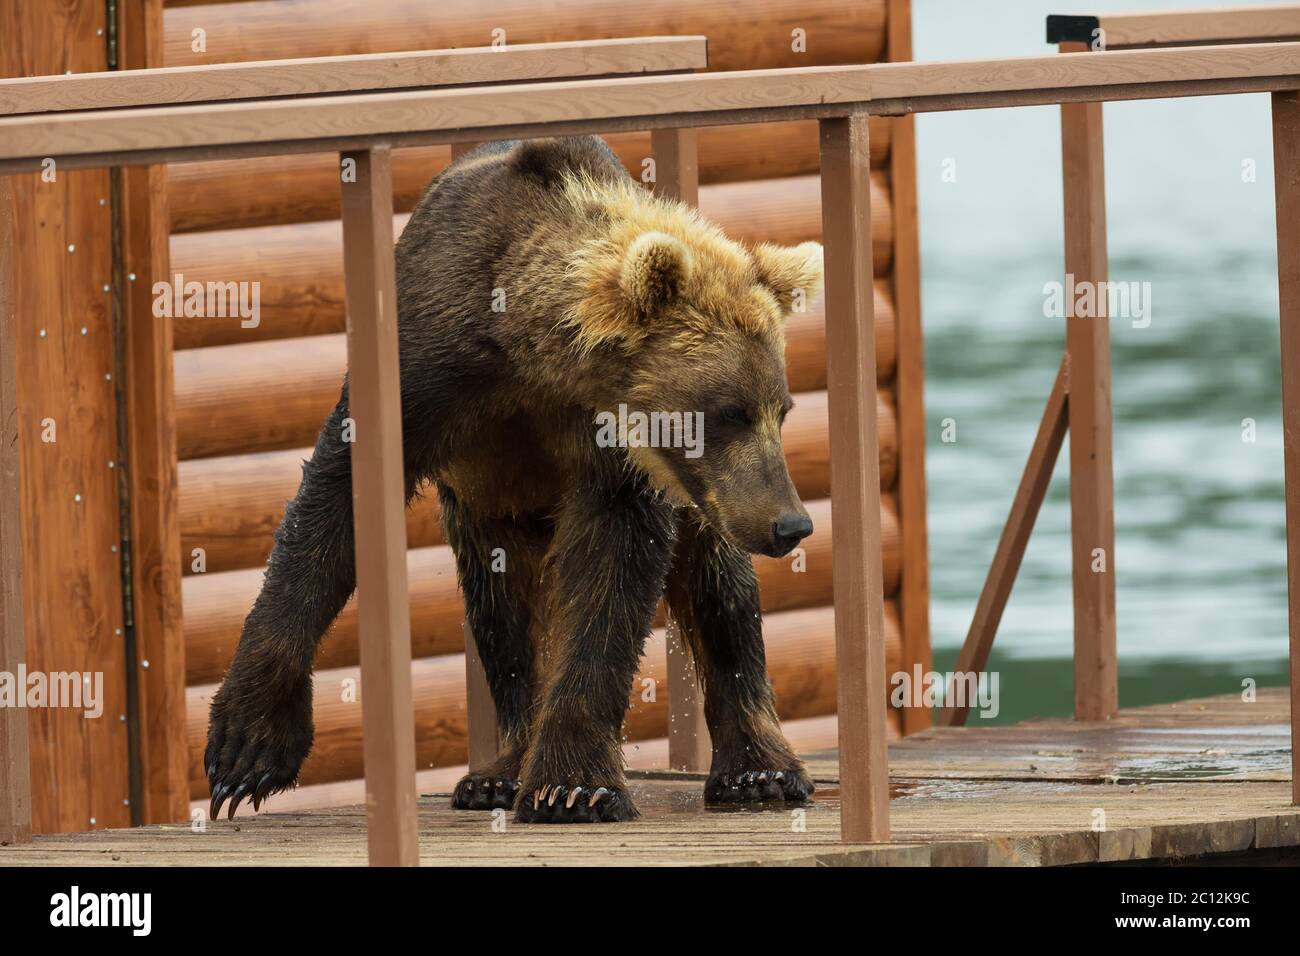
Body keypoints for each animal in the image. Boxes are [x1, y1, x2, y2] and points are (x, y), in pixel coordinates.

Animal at [204, 135, 824, 823]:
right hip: (490, 513)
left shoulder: (609, 453)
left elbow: (611, 579)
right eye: (728, 411)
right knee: (504, 615)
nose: (791, 523)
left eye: (780, 410)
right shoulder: (429, 373)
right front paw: (247, 750)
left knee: (720, 593)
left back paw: (758, 770)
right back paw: (498, 772)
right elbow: (331, 510)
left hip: (698, 508)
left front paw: (573, 784)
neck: (526, 349)